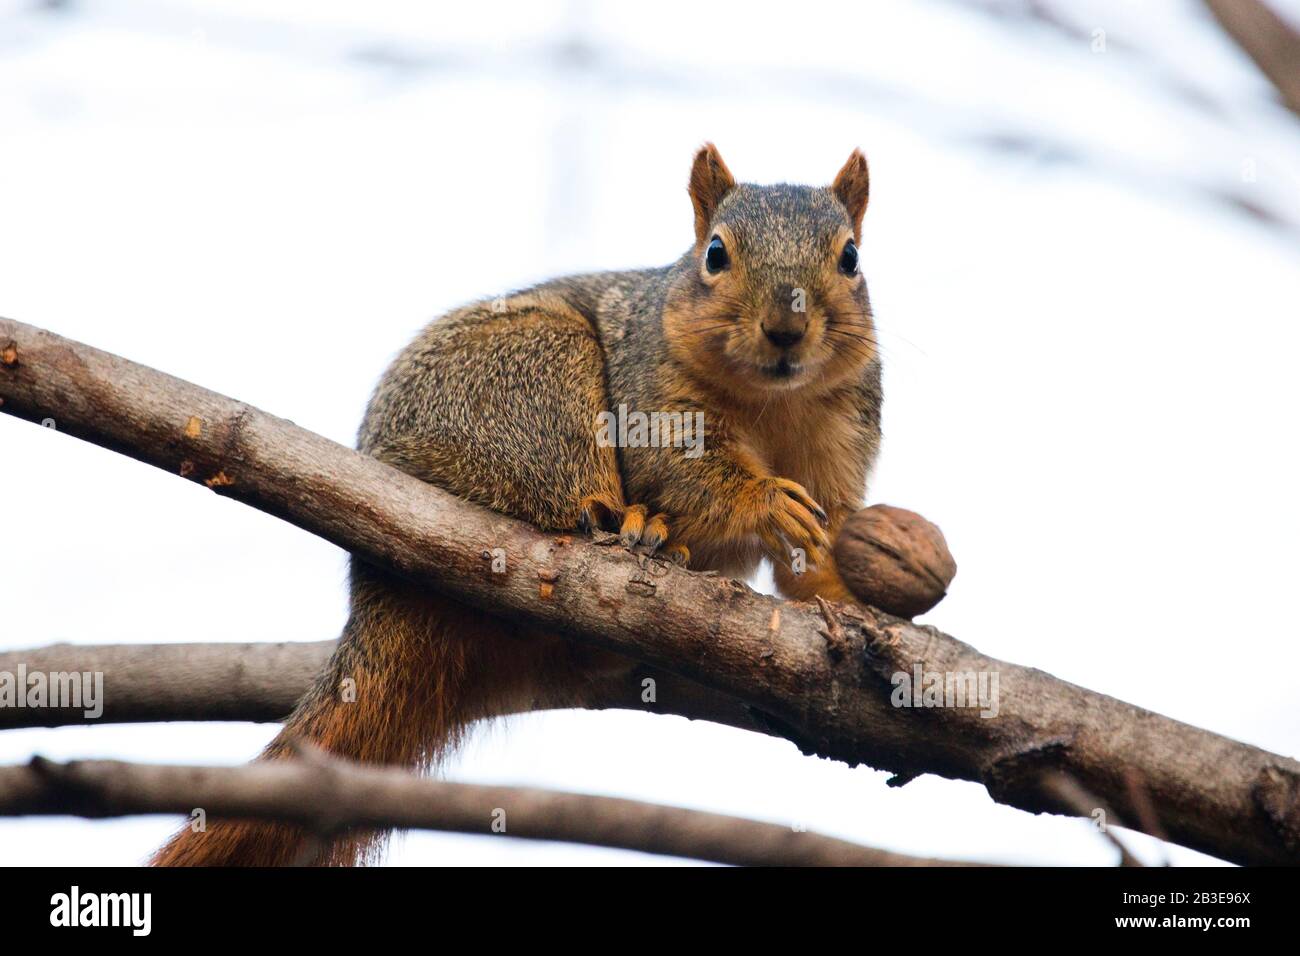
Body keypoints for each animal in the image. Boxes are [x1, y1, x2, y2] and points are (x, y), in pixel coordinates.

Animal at [151, 144, 881, 866]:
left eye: (851, 257)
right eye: (715, 254)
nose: (786, 327)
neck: (773, 402)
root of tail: (374, 595)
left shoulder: (844, 433)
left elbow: (816, 558)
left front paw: (851, 603)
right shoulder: (653, 397)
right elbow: (682, 473)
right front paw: (763, 501)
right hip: (533, 375)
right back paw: (629, 525)